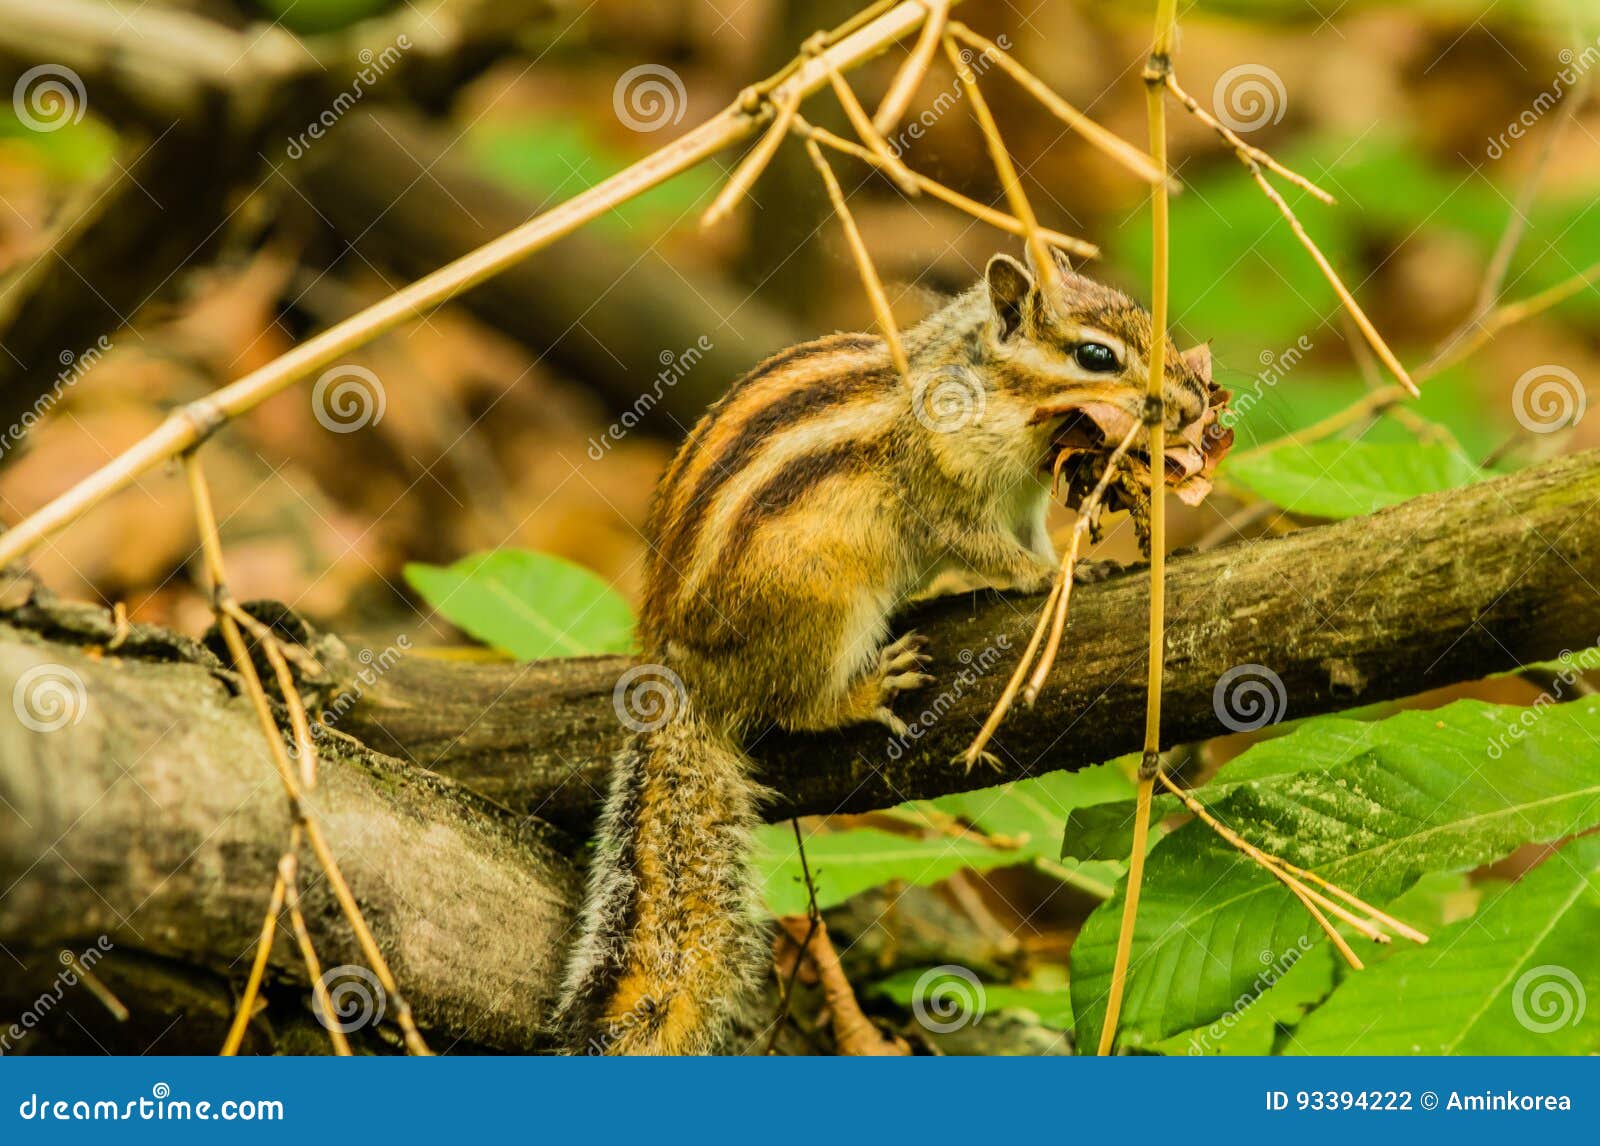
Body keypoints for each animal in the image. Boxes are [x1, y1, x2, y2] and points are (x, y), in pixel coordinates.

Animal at [555, 249, 1214, 1055]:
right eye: (1096, 357)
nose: (1193, 404)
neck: (984, 394)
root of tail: (681, 672)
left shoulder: (1021, 501)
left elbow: (1026, 538)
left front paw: (1077, 562)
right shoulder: (945, 496)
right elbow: (994, 552)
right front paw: (1051, 576)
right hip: (824, 606)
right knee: (797, 707)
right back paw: (867, 688)